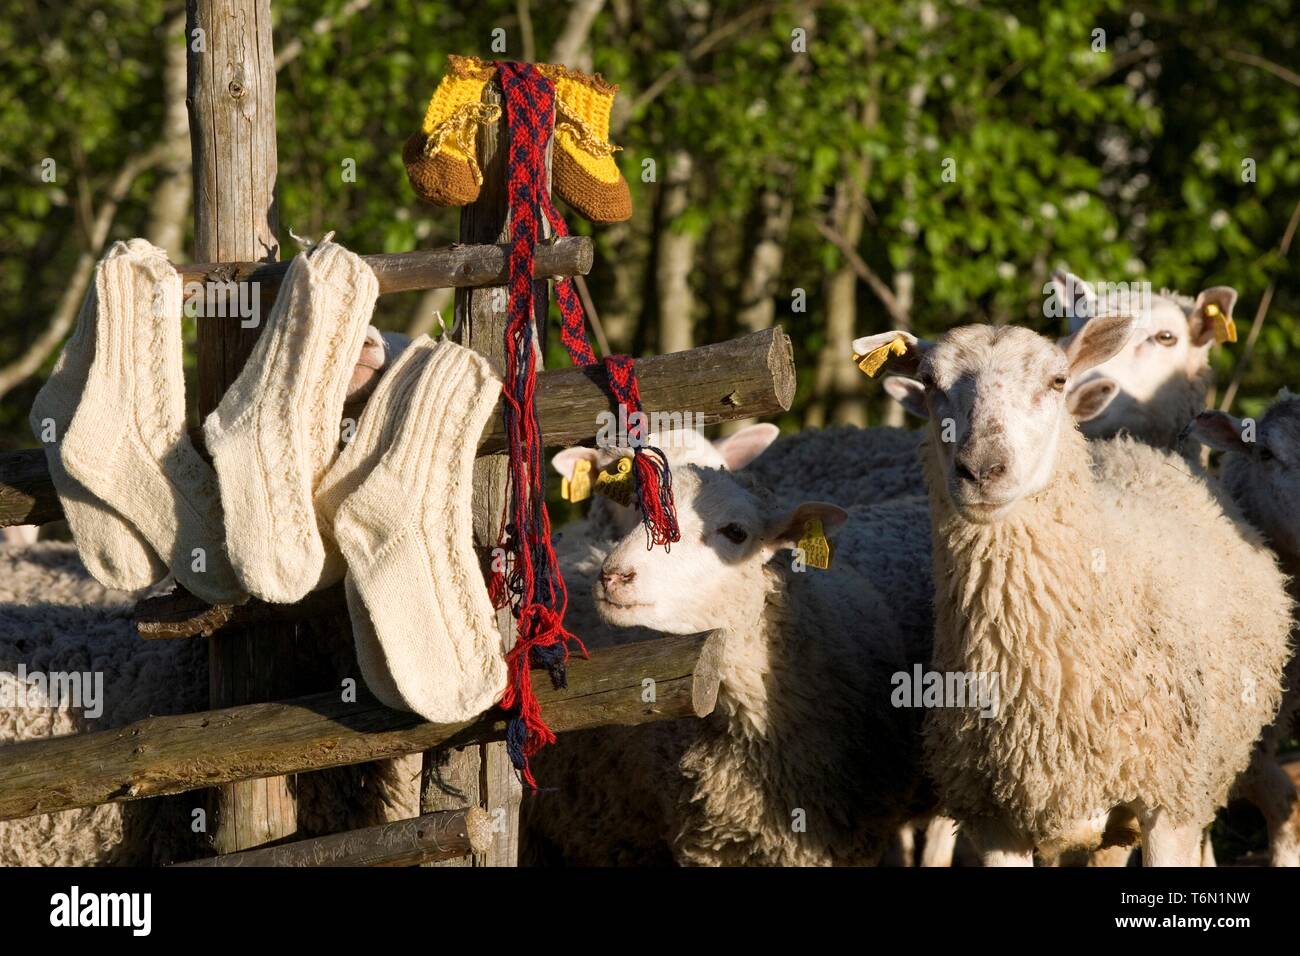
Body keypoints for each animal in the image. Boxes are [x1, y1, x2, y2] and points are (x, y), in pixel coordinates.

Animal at [853, 318, 1294, 866]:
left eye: (1058, 381)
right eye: (930, 383)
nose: (981, 471)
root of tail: (1132, 445)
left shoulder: (1166, 803)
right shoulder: (995, 821)